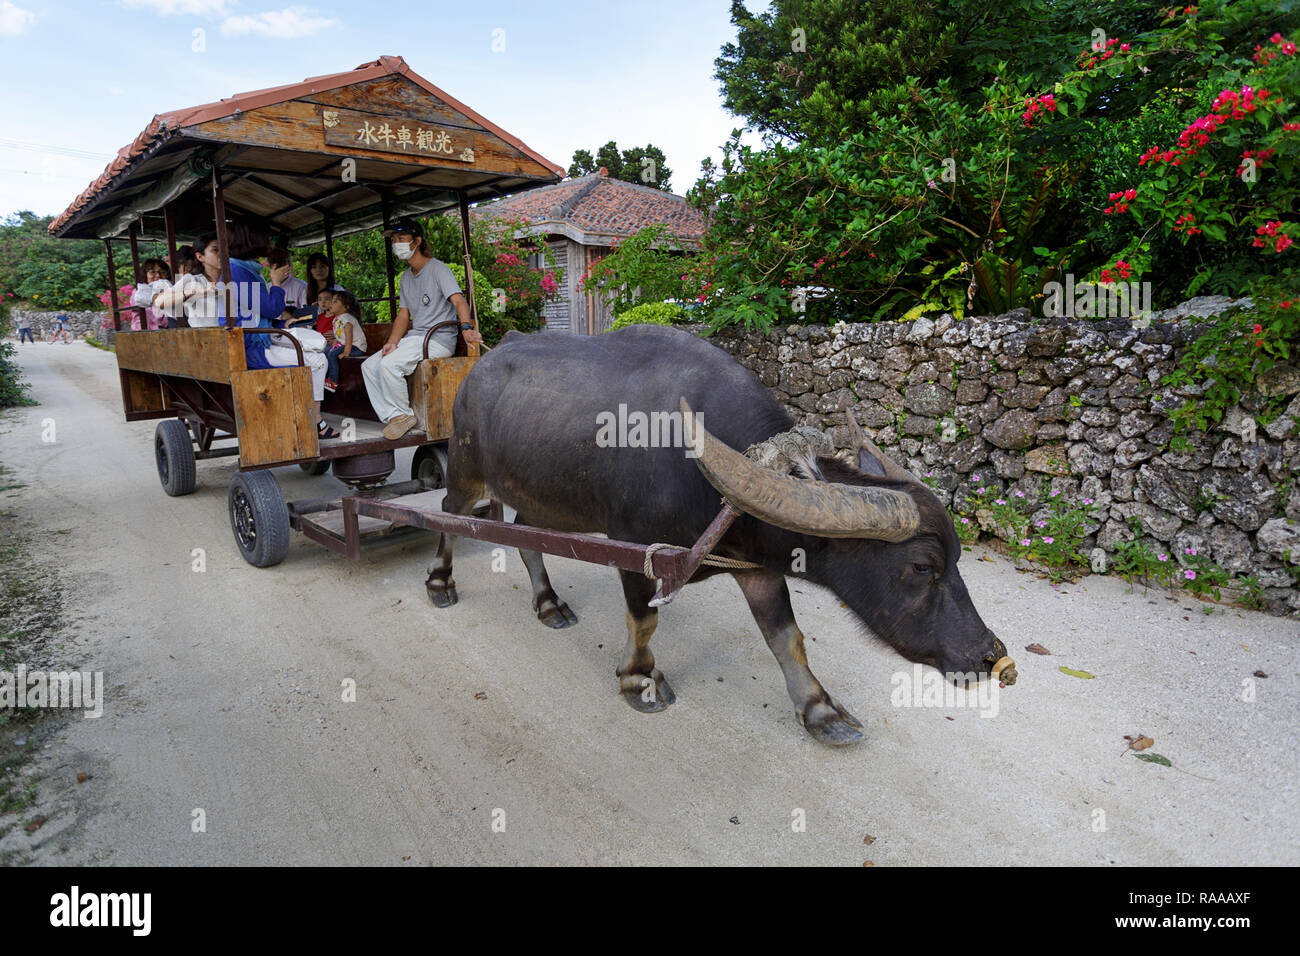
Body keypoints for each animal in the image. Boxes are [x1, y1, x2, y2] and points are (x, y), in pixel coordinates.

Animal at [427, 325, 1010, 745]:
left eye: (958, 559)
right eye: (922, 567)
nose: (990, 656)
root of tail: (480, 366)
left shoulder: (756, 565)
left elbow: (786, 637)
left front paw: (820, 710)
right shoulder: (636, 551)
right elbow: (644, 623)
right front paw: (639, 680)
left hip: (537, 497)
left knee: (523, 534)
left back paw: (549, 604)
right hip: (465, 470)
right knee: (447, 516)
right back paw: (440, 582)